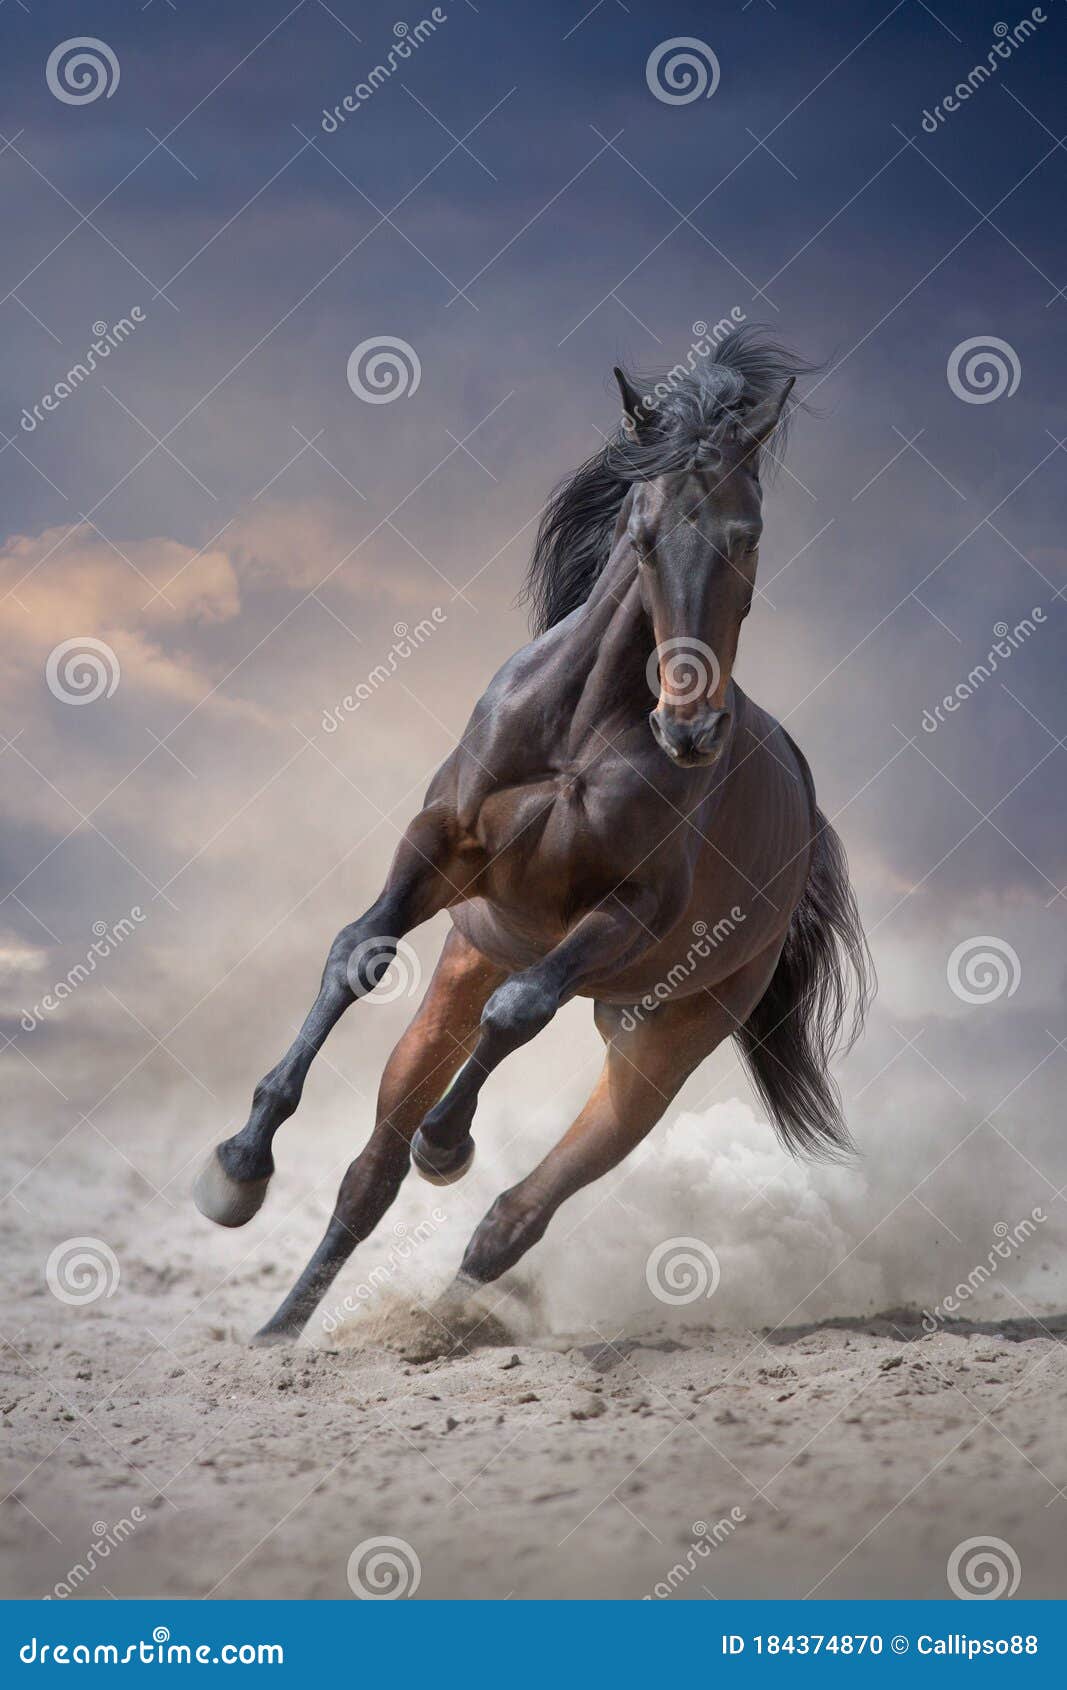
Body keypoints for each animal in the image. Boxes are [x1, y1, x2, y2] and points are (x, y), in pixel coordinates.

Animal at [193, 326, 872, 1345]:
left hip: (659, 1046)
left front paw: (447, 1141)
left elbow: (520, 1012)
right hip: (464, 972)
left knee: (515, 1213)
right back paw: (284, 1331)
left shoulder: (629, 912)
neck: (580, 733)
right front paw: (238, 1167)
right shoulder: (439, 847)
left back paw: (439, 1314)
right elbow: (358, 952)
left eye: (746, 535)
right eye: (642, 534)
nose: (691, 729)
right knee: (370, 1178)